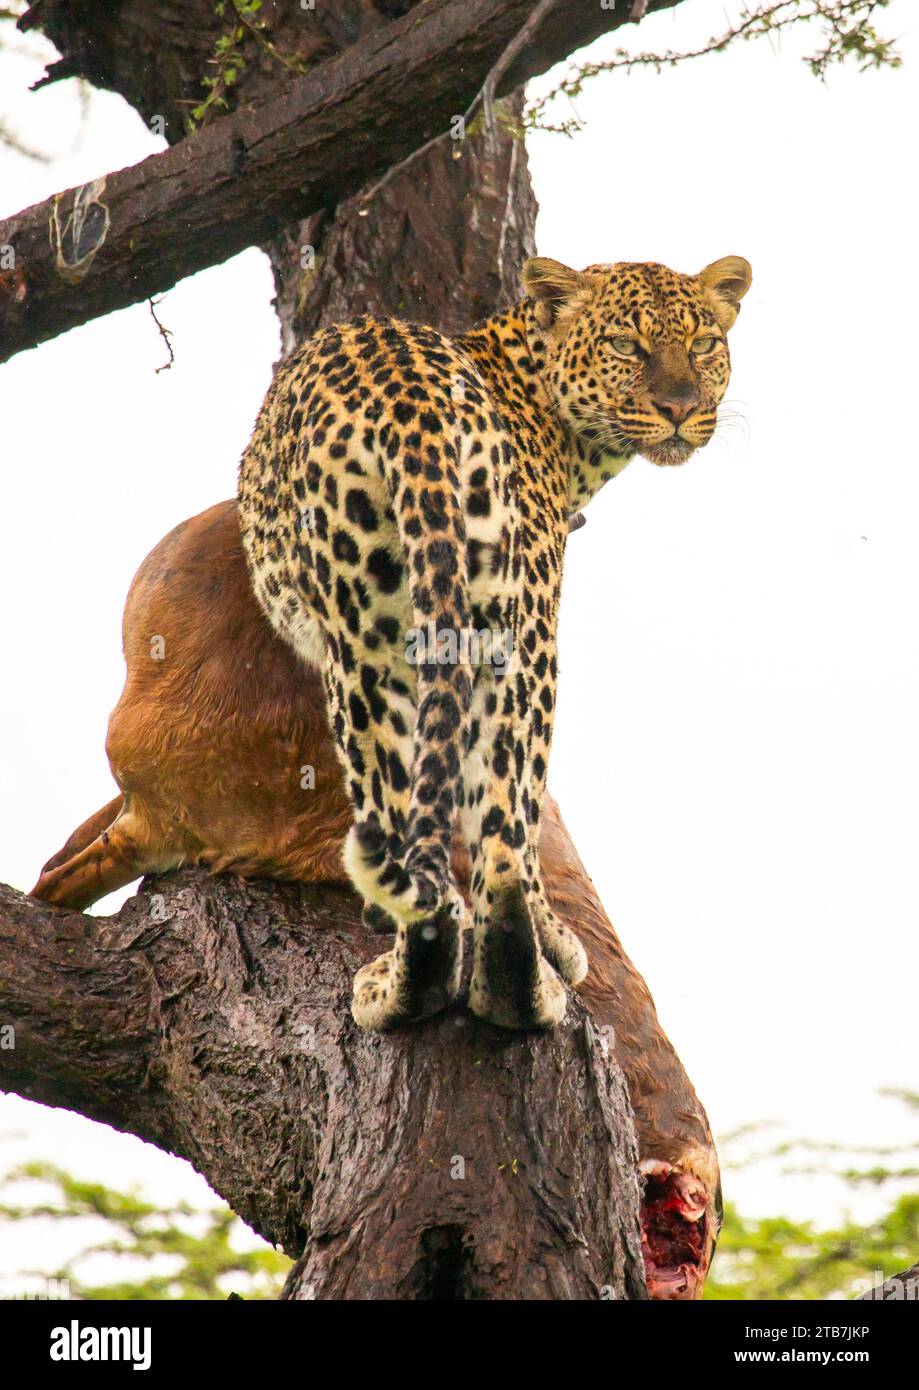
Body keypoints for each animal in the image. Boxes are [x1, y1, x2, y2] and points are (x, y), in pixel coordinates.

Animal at [238, 253, 752, 1032]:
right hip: (494, 625)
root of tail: (412, 404)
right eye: (626, 346)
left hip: (381, 643)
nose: (677, 407)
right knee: (501, 820)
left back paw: (427, 974)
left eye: (701, 345)